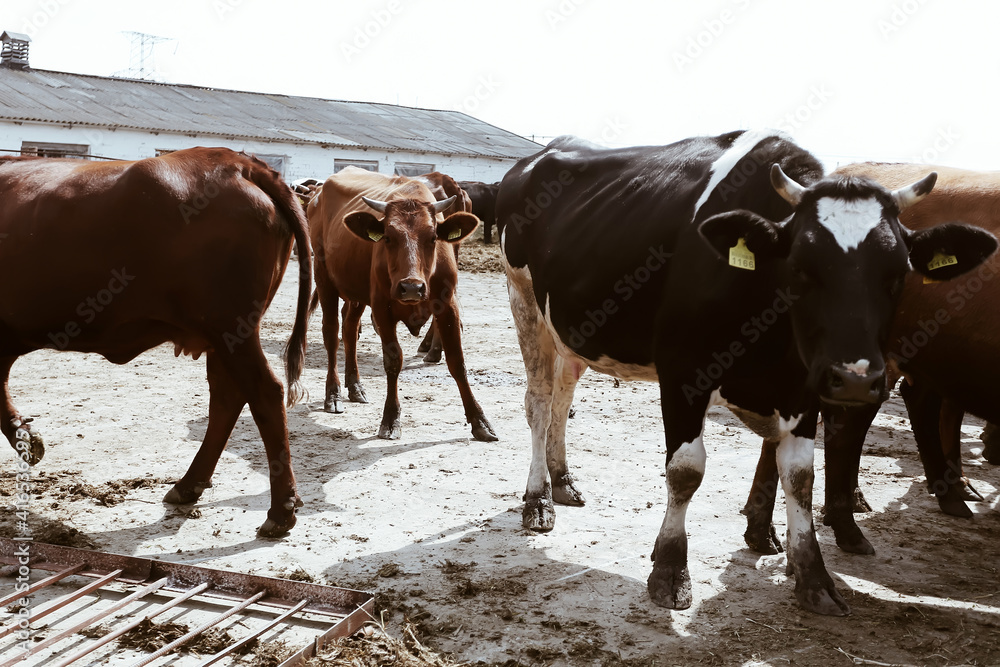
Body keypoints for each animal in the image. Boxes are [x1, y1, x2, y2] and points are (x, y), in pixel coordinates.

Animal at [0, 148, 313, 537]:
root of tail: (233, 160)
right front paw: (26, 438)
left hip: (230, 327)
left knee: (264, 393)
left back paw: (280, 511)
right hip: (222, 337)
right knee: (228, 396)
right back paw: (189, 485)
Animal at [307, 167, 497, 442]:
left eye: (433, 238)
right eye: (387, 237)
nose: (411, 287)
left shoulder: (448, 306)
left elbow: (457, 362)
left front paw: (480, 421)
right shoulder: (382, 308)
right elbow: (393, 360)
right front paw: (390, 419)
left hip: (356, 292)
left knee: (350, 329)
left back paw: (355, 387)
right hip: (324, 278)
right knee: (331, 334)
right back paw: (333, 394)